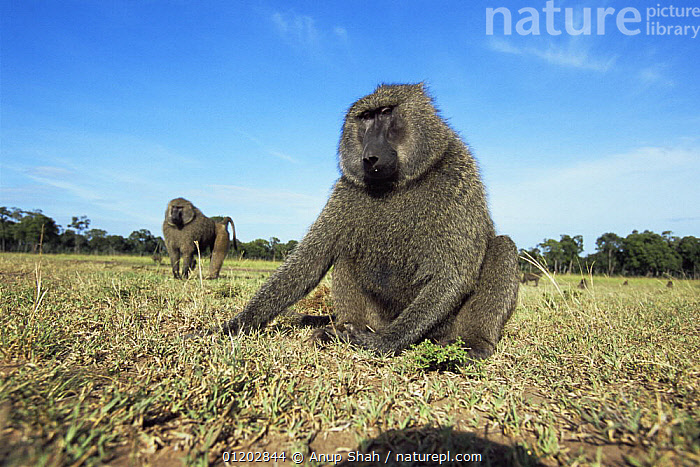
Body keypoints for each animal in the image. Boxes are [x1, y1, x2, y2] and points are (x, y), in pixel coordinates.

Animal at [222, 84, 519, 360]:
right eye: (365, 117)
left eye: (386, 112)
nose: (370, 156)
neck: (397, 183)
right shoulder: (346, 190)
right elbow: (309, 261)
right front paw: (234, 326)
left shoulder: (457, 175)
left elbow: (454, 274)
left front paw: (382, 343)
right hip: (377, 317)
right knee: (345, 252)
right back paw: (340, 330)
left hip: (443, 326)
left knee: (503, 247)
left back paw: (473, 343)